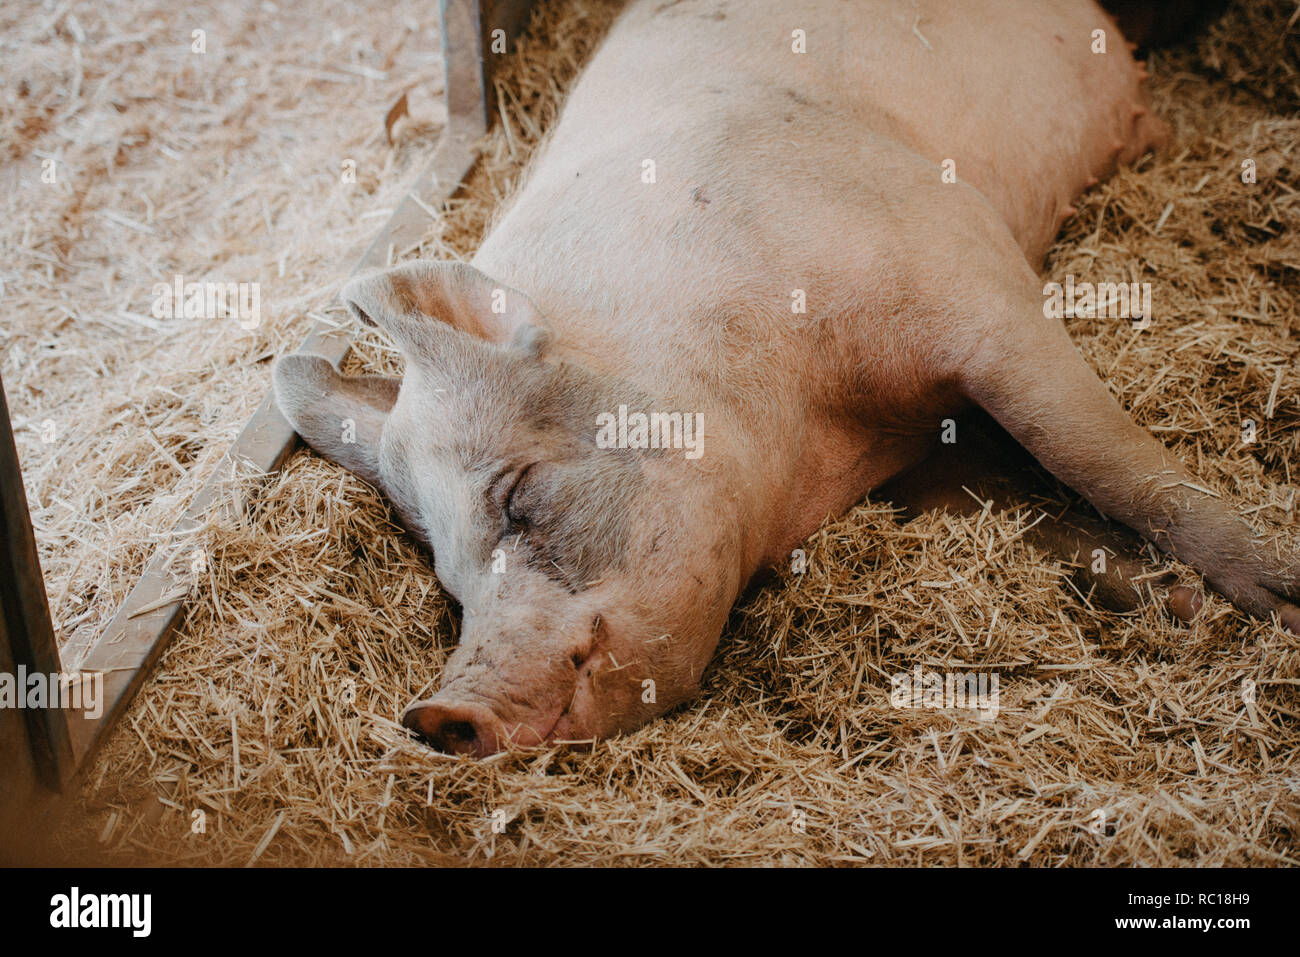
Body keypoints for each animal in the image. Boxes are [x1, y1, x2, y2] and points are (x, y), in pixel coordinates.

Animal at [272, 0, 1298, 756]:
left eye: (519, 498)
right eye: (447, 582)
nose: (438, 716)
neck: (820, 443)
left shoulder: (970, 286)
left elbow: (1098, 455)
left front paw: (1277, 595)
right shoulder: (926, 464)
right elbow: (1037, 519)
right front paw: (1179, 606)